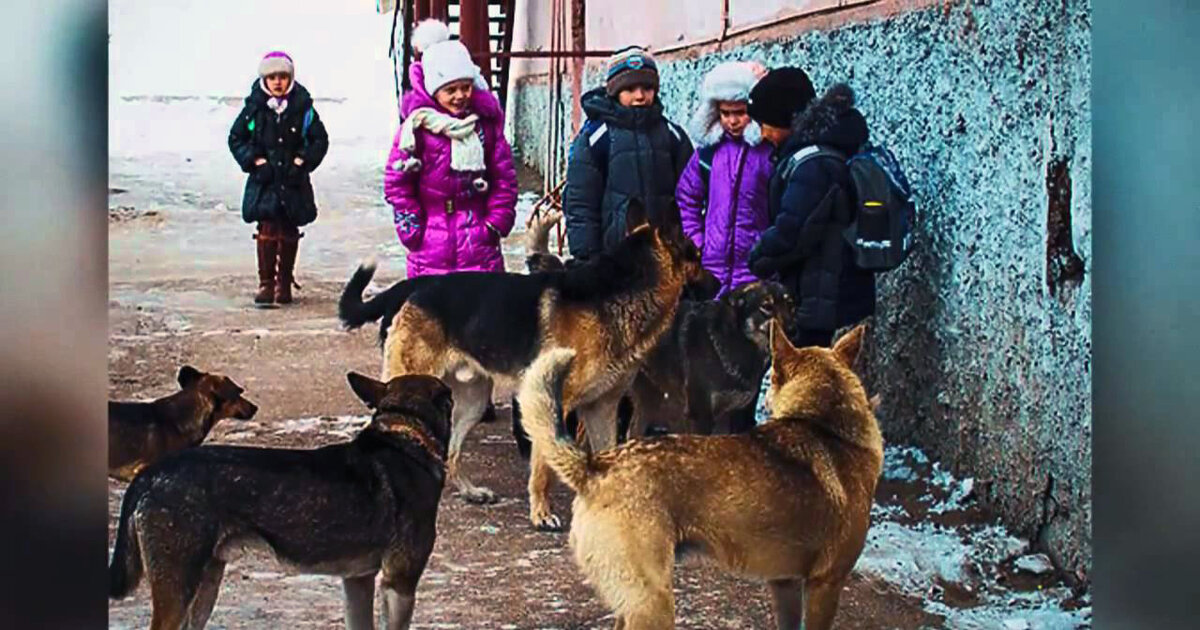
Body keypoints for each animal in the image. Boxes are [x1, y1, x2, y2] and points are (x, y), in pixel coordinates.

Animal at [338, 200, 710, 525]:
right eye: (697, 253)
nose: (718, 281)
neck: (619, 290)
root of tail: (411, 287)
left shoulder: (602, 408)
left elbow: (607, 454)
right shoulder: (555, 404)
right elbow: (543, 468)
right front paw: (542, 515)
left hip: (471, 401)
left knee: (451, 453)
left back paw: (470, 492)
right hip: (410, 385)